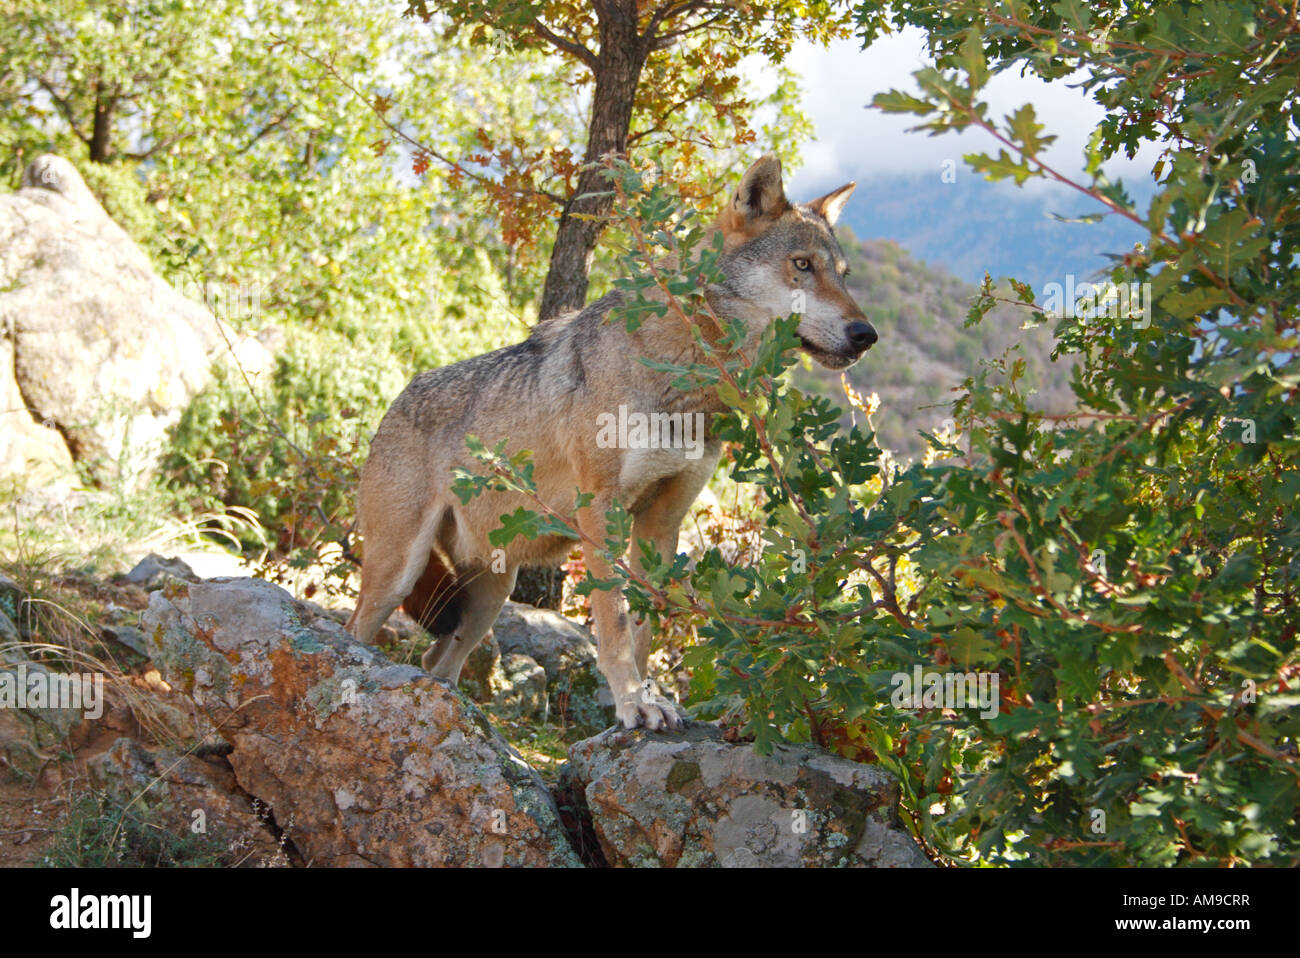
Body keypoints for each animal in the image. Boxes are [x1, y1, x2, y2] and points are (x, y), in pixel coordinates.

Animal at [345, 154, 876, 731]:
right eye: (802, 265)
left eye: (843, 275)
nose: (866, 334)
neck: (682, 374)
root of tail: (396, 401)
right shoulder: (601, 510)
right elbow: (615, 625)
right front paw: (633, 703)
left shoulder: (662, 520)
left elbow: (644, 628)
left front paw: (651, 699)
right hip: (398, 573)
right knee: (356, 633)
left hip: (492, 592)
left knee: (435, 658)